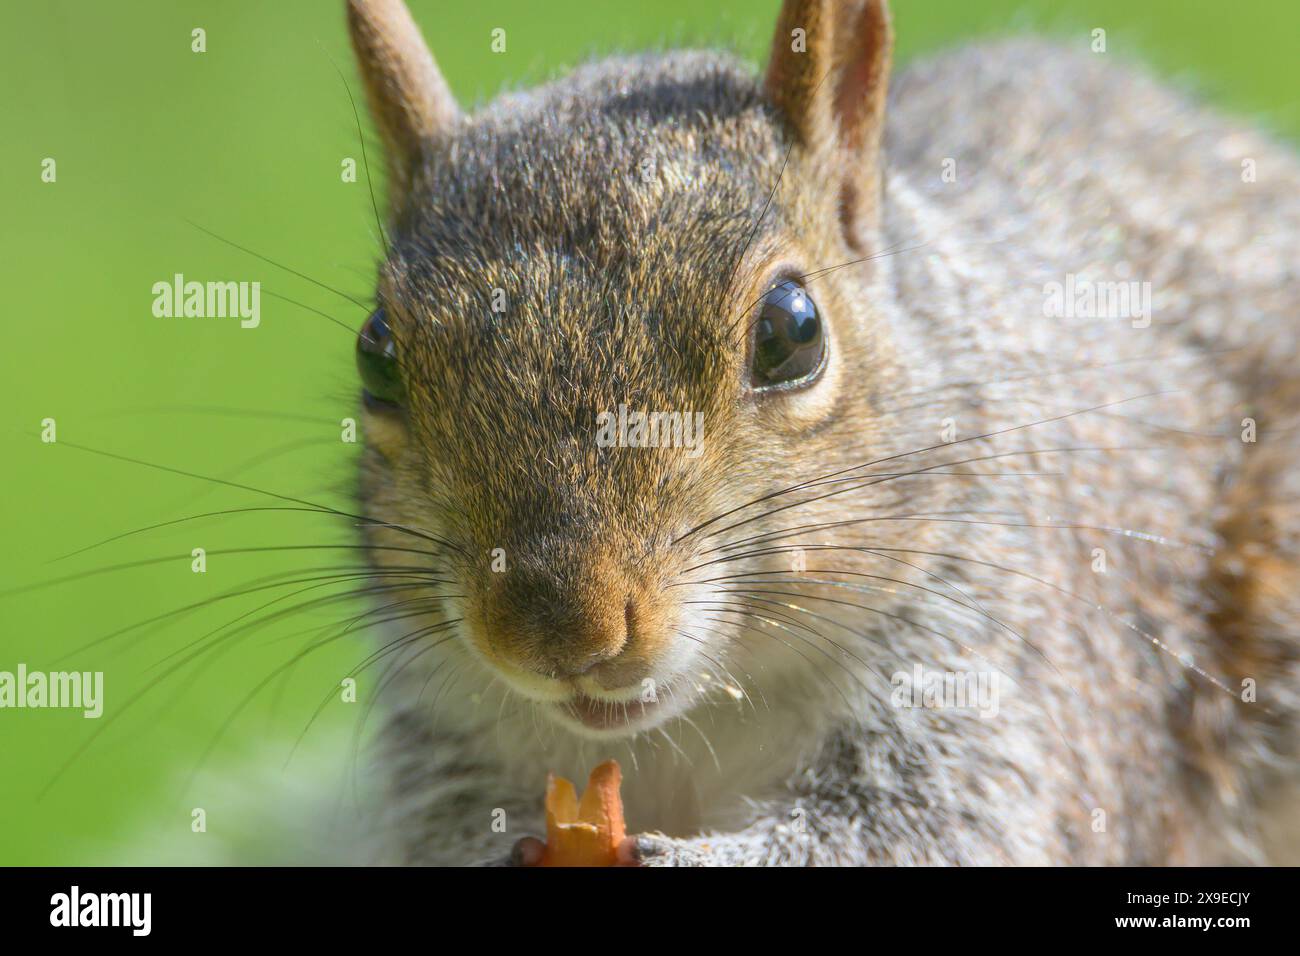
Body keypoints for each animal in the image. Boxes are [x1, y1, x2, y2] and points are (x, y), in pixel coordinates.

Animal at [343, 0, 1300, 865]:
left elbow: (924, 835)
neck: (712, 707)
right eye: (376, 354)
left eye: (792, 330)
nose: (560, 635)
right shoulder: (448, 735)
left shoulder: (999, 666)